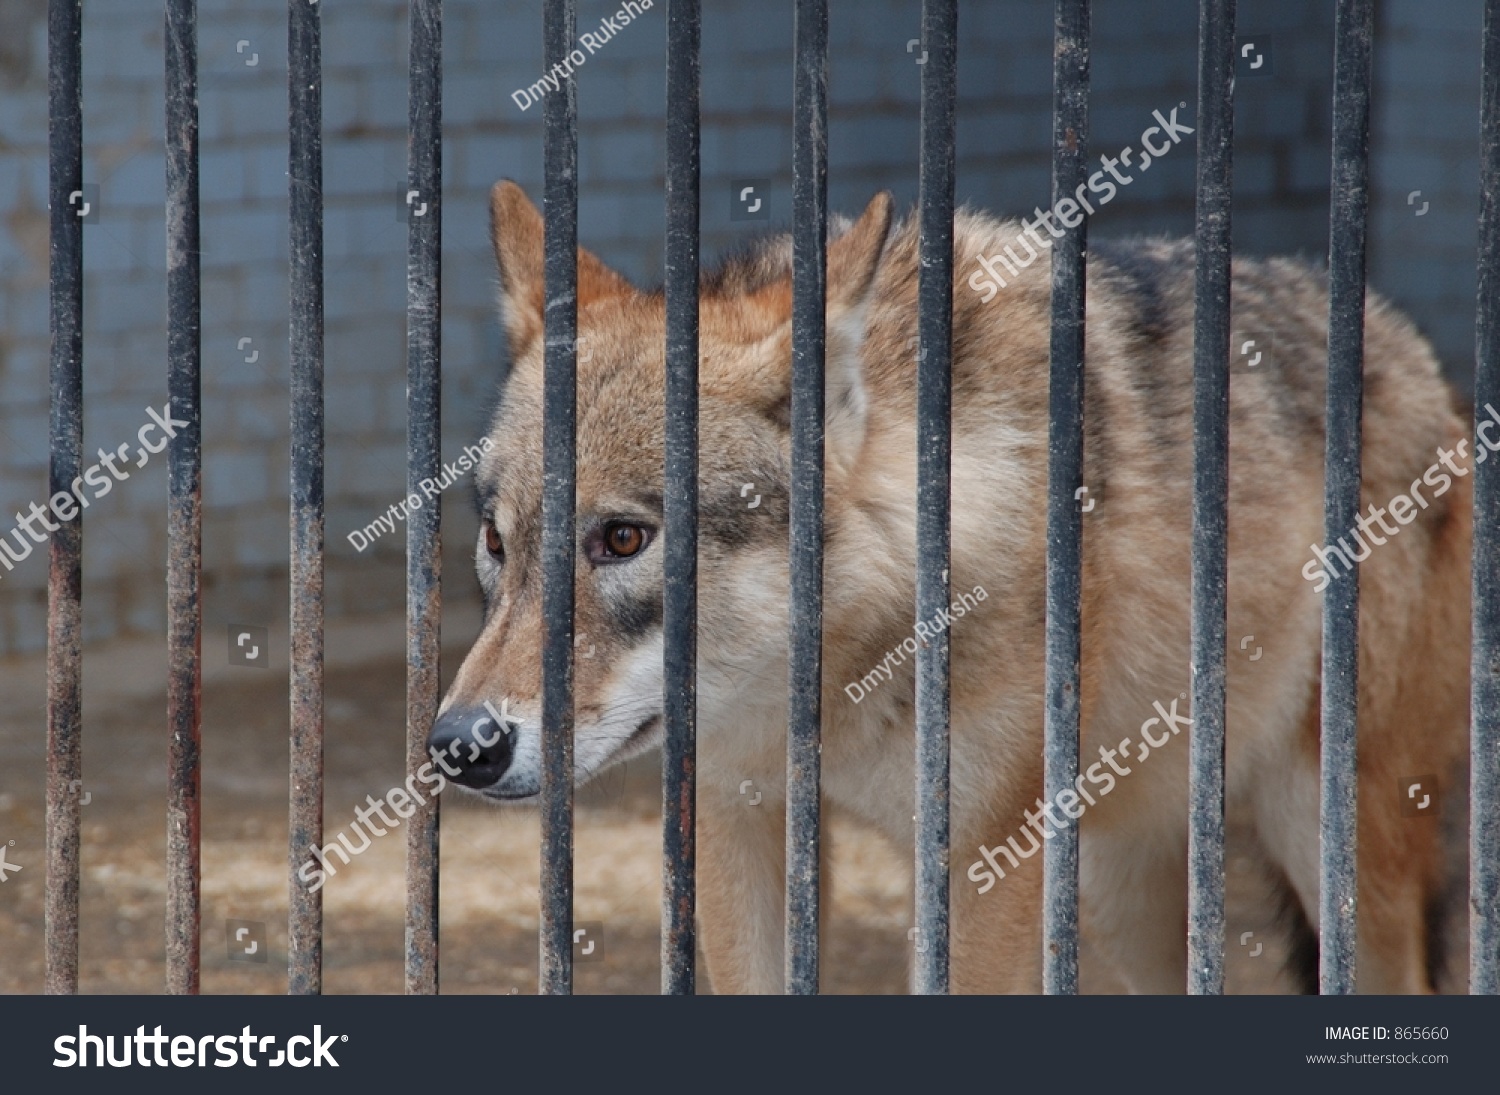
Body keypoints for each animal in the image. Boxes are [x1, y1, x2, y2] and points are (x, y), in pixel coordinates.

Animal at [427, 180, 1471, 994]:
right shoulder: (737, 817)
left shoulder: (986, 863)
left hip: (1332, 845)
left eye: (623, 538)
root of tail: (1413, 347)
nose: (460, 745)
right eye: (496, 540)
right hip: (1121, 884)